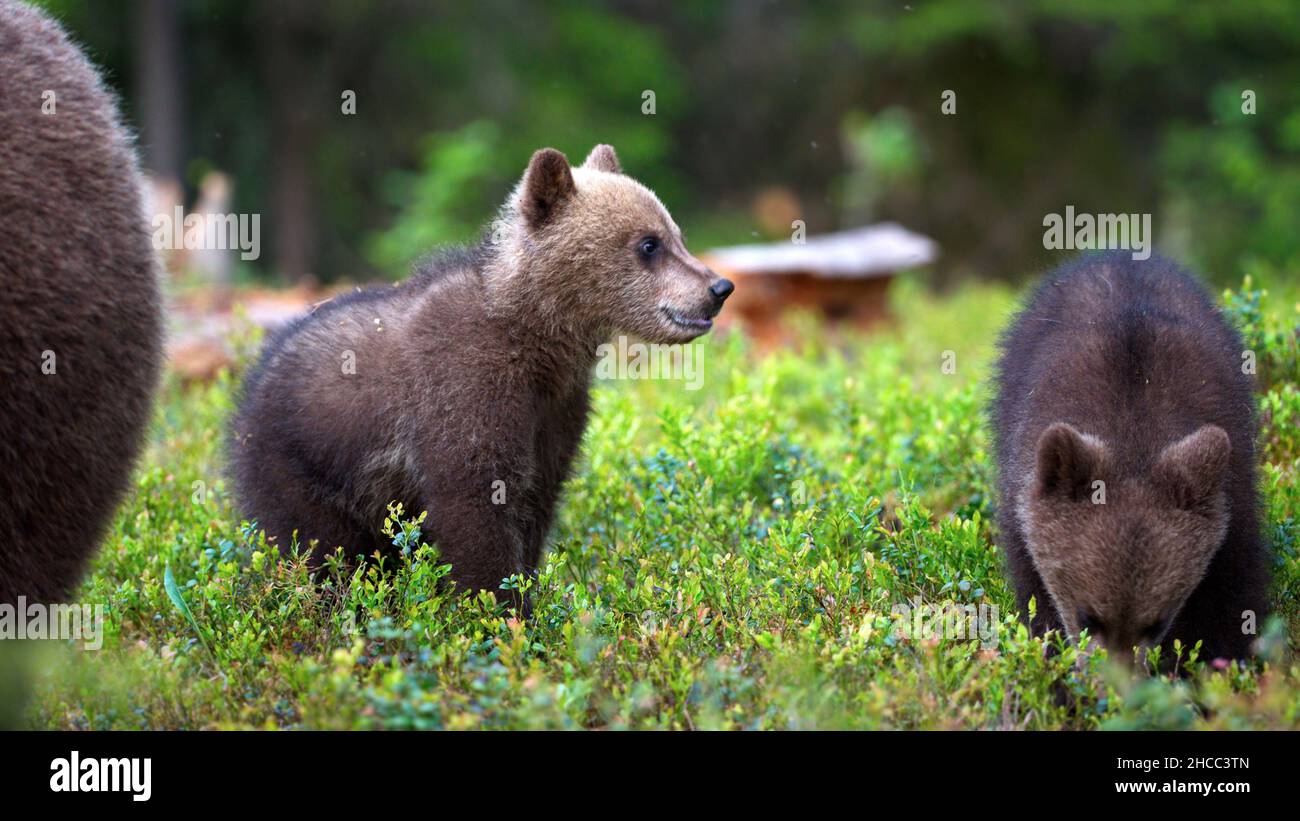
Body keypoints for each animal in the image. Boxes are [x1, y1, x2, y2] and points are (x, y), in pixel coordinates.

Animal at [229, 144, 733, 609]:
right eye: (649, 243)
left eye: (677, 234)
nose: (719, 287)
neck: (537, 338)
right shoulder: (466, 386)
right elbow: (476, 499)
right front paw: (499, 610)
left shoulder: (556, 411)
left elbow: (537, 500)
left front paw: (527, 592)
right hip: (303, 464)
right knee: (325, 547)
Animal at [992, 251, 1268, 664]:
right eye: (1087, 616)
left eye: (1156, 622)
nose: (1111, 682)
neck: (1133, 439)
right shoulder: (1021, 484)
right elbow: (1032, 588)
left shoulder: (1230, 487)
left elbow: (1234, 598)